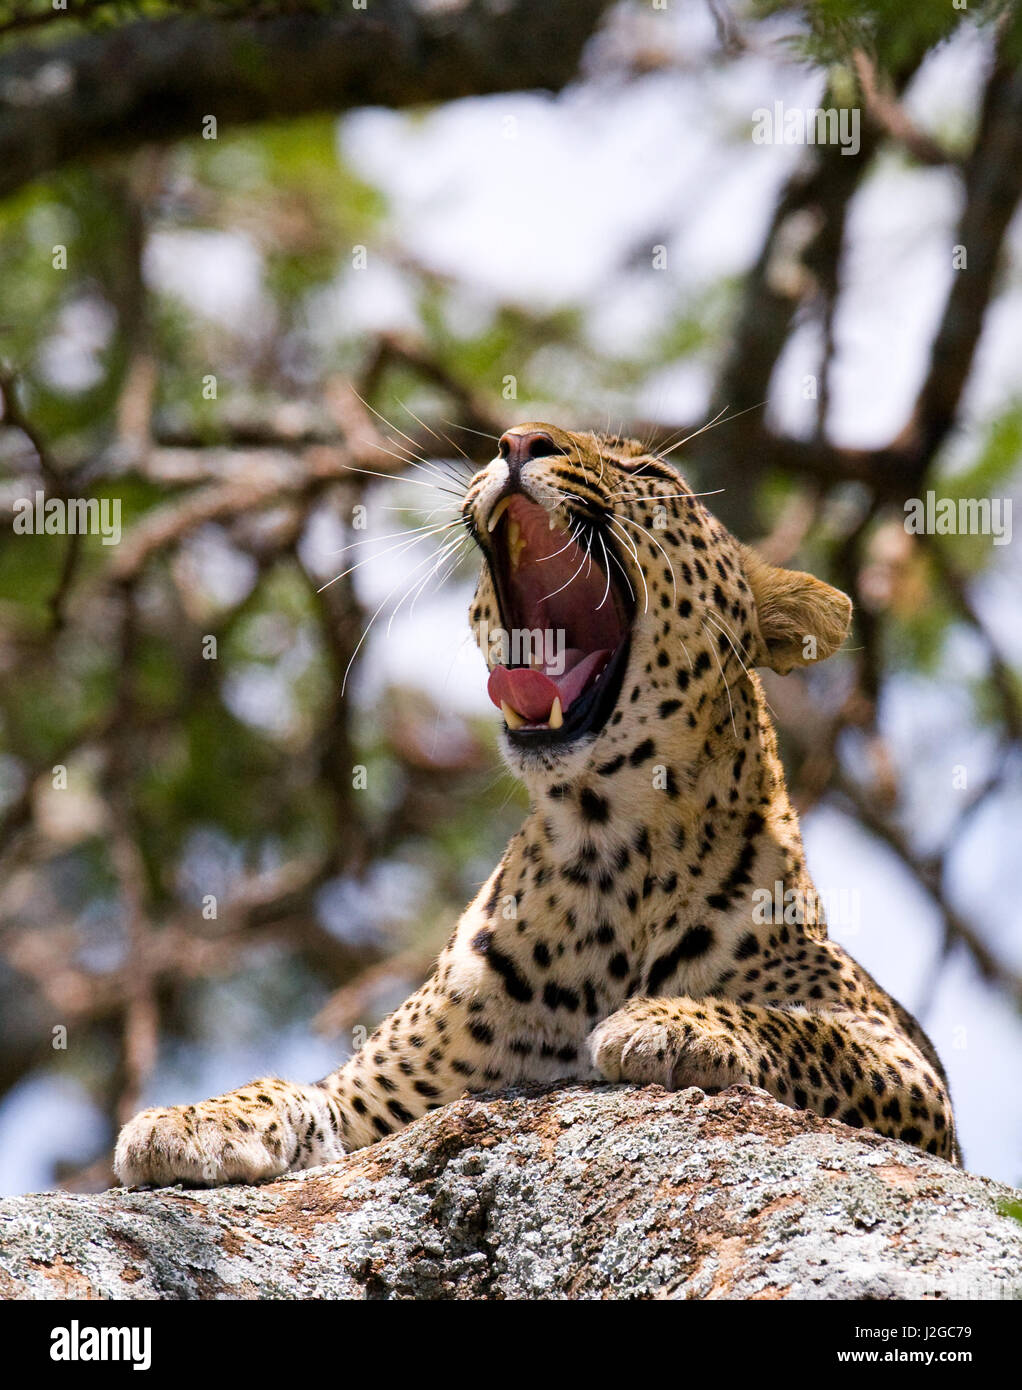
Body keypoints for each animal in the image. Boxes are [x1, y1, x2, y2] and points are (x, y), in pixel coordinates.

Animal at [115, 421, 959, 1186]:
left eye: (650, 472)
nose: (518, 441)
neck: (612, 845)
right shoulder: (376, 1102)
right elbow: (300, 1092)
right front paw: (194, 1119)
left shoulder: (911, 1070)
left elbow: (804, 1032)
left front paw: (669, 1021)